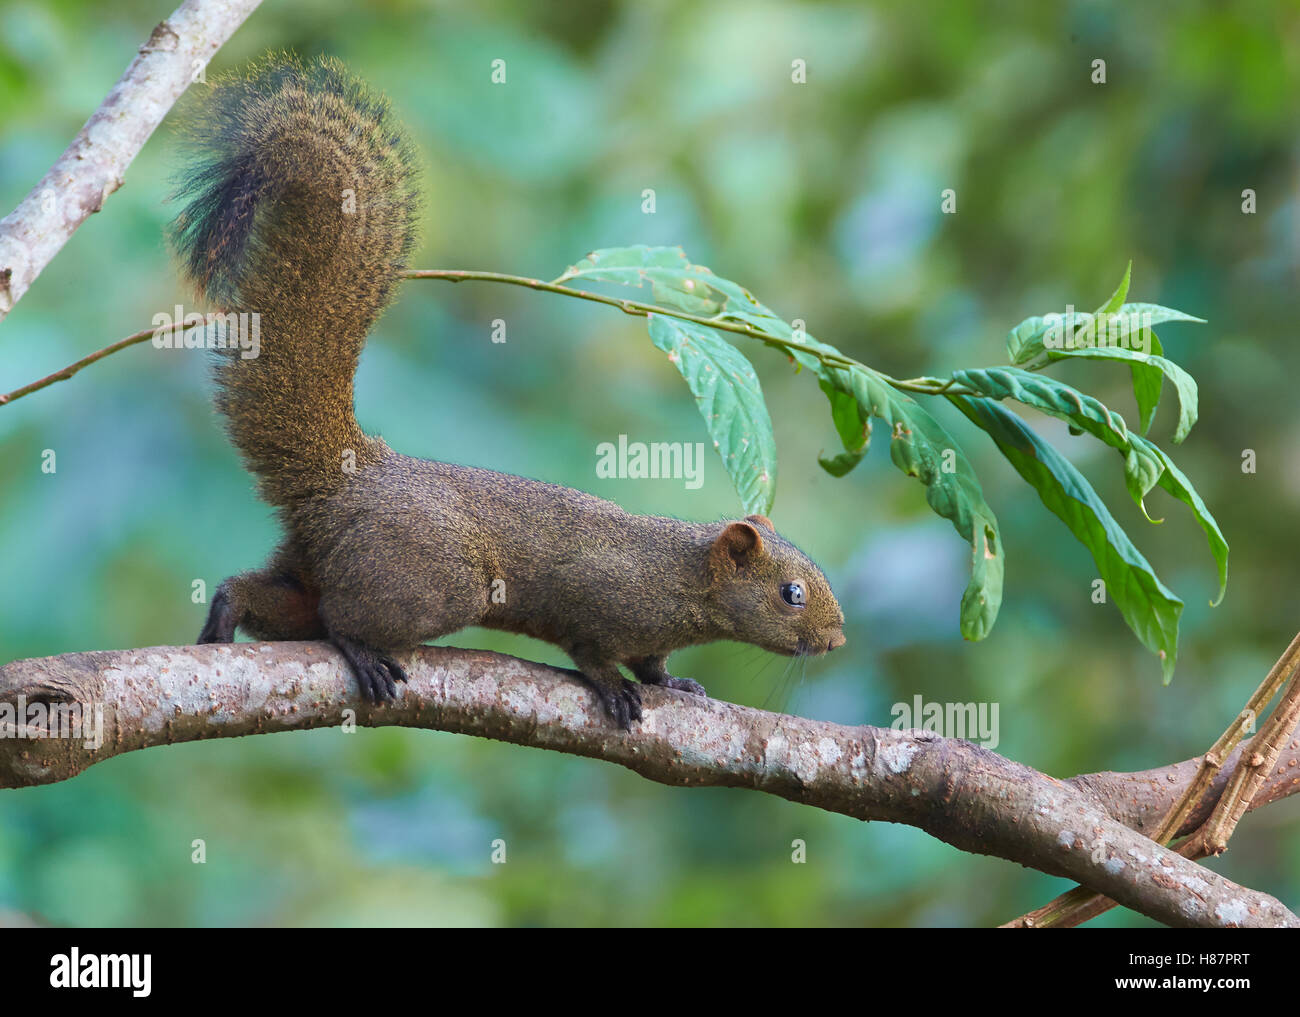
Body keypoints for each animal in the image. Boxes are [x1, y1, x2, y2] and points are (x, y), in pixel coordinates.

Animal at [170, 54, 846, 728]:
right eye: (791, 593)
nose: (837, 639)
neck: (680, 576)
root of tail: (352, 476)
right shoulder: (601, 601)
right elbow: (592, 650)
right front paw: (616, 688)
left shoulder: (651, 636)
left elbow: (653, 664)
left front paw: (675, 683)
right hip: (433, 576)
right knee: (340, 618)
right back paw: (360, 649)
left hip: (315, 563)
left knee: (277, 599)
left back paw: (224, 615)